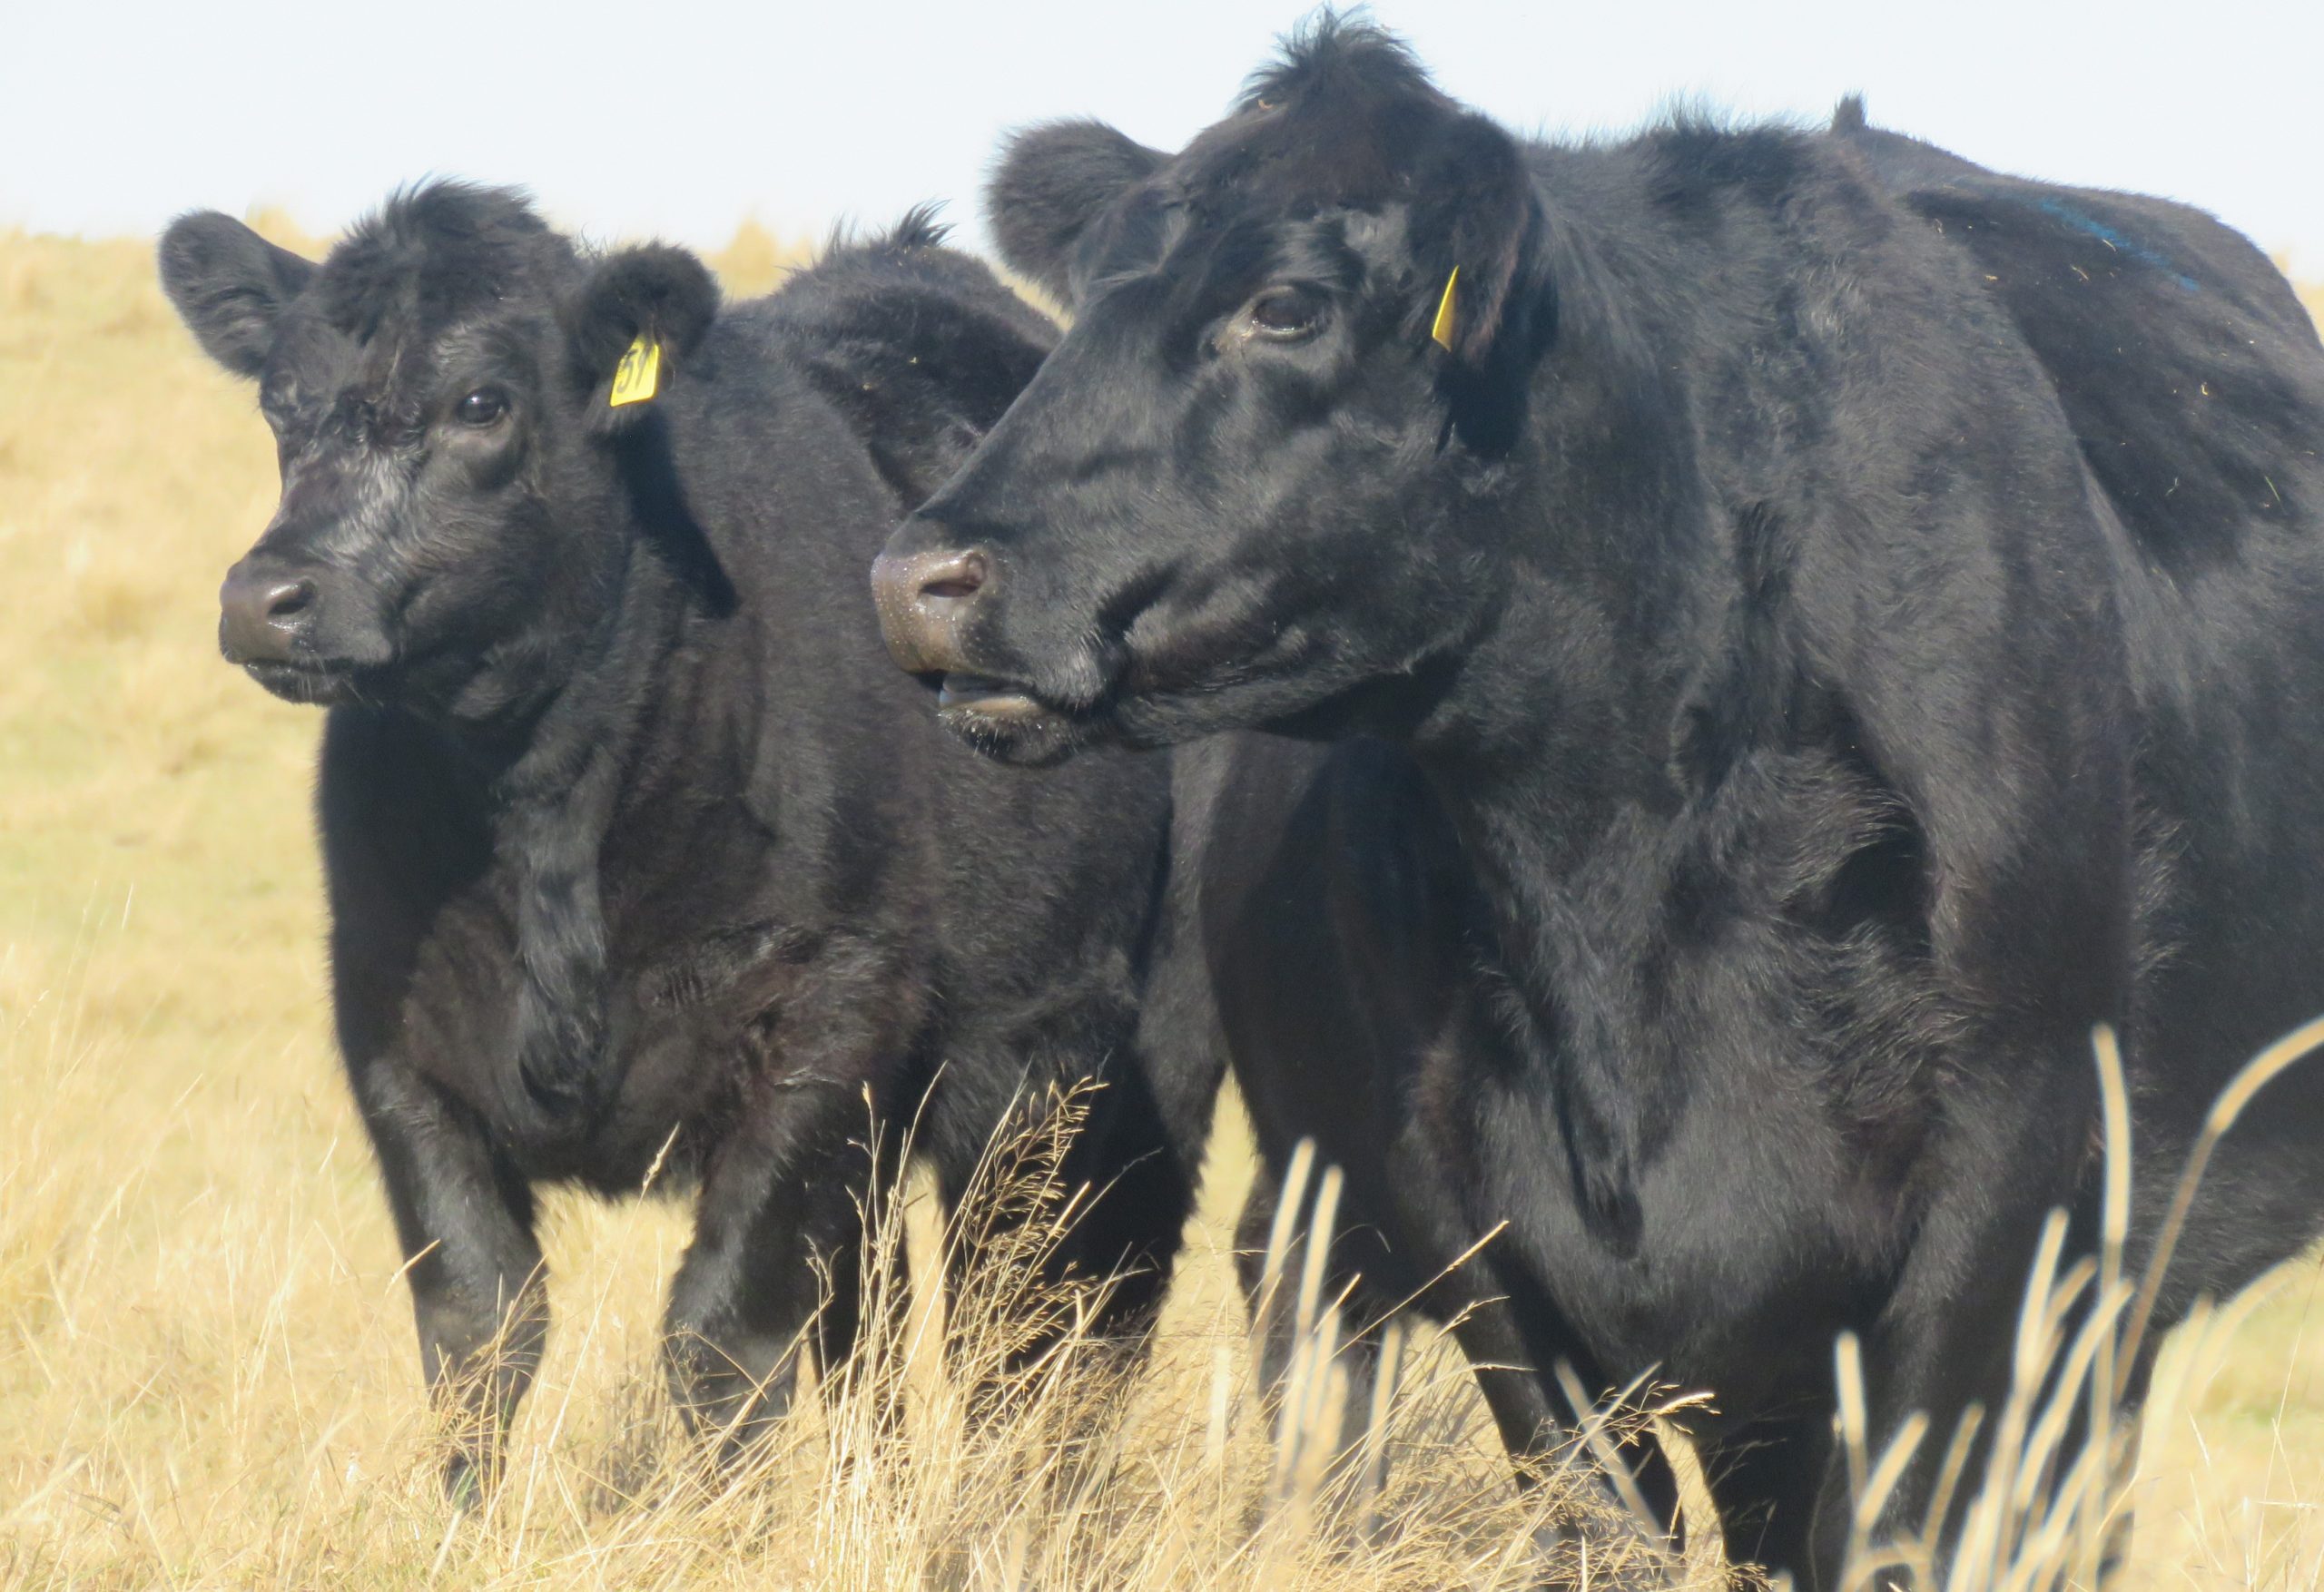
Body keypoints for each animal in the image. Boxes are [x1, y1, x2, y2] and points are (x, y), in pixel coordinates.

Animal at [158, 185, 1215, 1501]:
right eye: (280, 403)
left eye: (482, 402)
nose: (265, 597)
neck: (549, 823)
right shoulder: (394, 1032)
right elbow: (478, 1322)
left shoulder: (828, 1013)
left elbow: (724, 1335)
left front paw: (702, 1522)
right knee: (882, 1323)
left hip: (1093, 1059)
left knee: (1041, 1316)